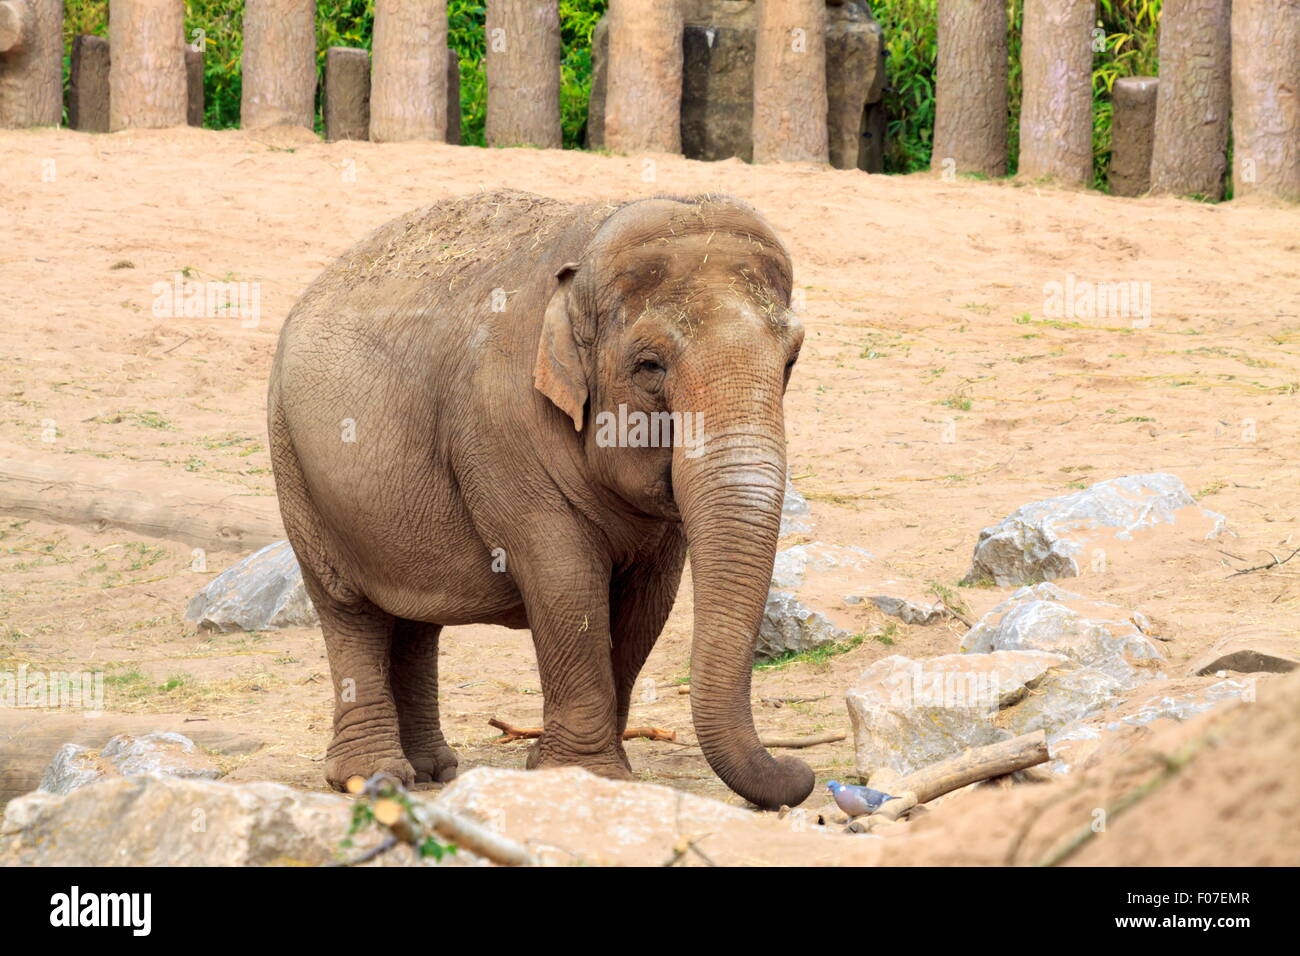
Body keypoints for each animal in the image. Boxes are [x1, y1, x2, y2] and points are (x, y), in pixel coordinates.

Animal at [268, 188, 811, 810]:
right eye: (649, 366)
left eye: (792, 358)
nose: (800, 770)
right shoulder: (501, 429)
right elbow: (565, 582)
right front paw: (586, 775)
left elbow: (647, 604)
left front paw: (569, 768)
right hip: (294, 463)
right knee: (347, 607)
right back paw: (373, 777)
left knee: (415, 621)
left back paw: (434, 769)